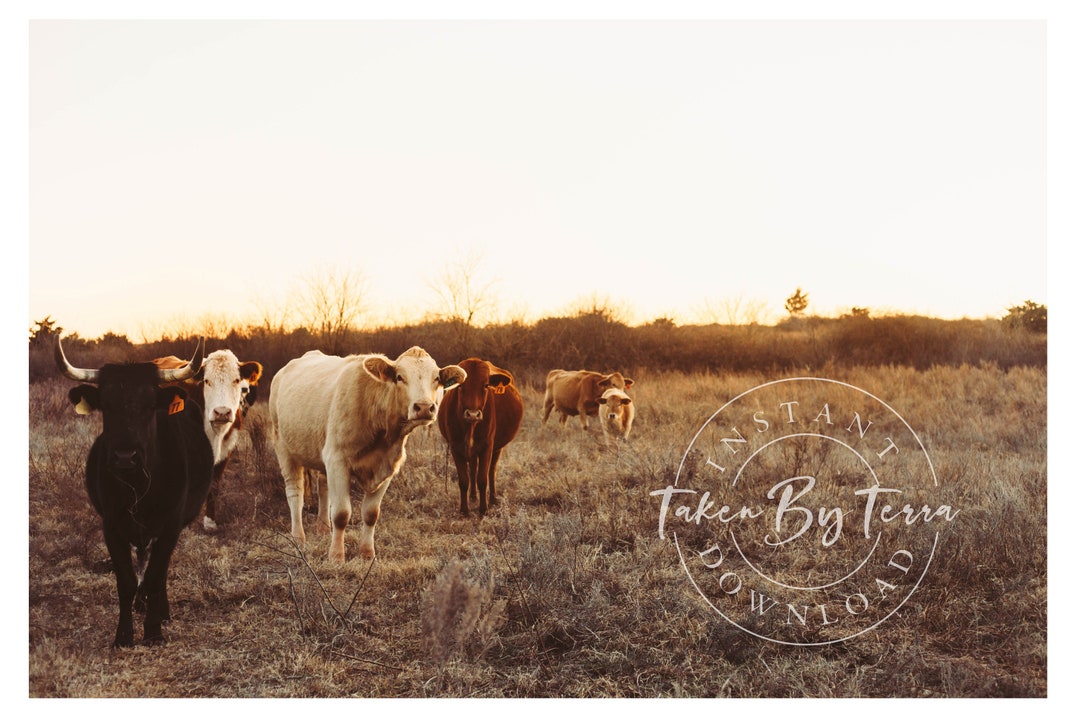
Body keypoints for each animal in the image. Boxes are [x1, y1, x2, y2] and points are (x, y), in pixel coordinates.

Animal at [56, 337, 213, 648]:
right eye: (106, 405)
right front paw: (124, 634)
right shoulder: (111, 526)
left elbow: (154, 576)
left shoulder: (171, 526)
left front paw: (153, 631)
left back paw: (161, 611)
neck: (138, 486)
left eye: (150, 405)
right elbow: (126, 580)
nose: (125, 457)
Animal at [154, 350, 264, 531]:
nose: (222, 412)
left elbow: (214, 485)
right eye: (206, 381)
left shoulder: (226, 450)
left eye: (236, 380)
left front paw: (210, 522)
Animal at [269, 346, 466, 561]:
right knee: (295, 492)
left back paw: (323, 529)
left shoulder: (387, 466)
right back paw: (298, 537)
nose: (423, 407)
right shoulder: (337, 460)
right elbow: (341, 514)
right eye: (399, 377)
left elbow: (371, 514)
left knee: (323, 487)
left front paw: (367, 554)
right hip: (283, 448)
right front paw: (336, 556)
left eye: (436, 378)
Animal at [437, 358, 524, 516]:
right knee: (473, 469)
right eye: (461, 385)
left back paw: (493, 498)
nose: (472, 414)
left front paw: (483, 509)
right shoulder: (455, 447)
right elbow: (464, 480)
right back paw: (472, 496)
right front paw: (464, 510)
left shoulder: (487, 446)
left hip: (497, 448)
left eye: (486, 385)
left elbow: (482, 479)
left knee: (491, 470)